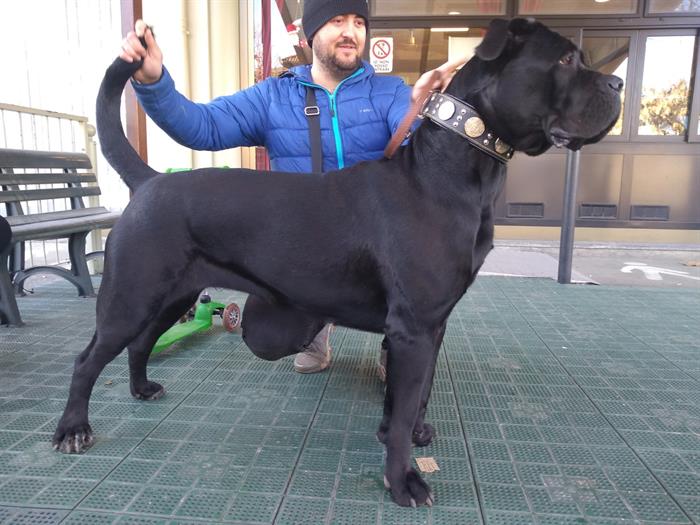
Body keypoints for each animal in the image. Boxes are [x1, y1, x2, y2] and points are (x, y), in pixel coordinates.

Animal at [54, 18, 620, 506]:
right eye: (566, 58)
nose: (616, 82)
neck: (451, 169)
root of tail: (149, 180)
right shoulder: (415, 326)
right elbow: (404, 407)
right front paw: (404, 480)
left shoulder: (430, 326)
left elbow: (413, 396)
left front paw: (407, 433)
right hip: (130, 295)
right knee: (88, 359)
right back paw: (73, 429)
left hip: (173, 294)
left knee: (141, 343)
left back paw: (141, 388)